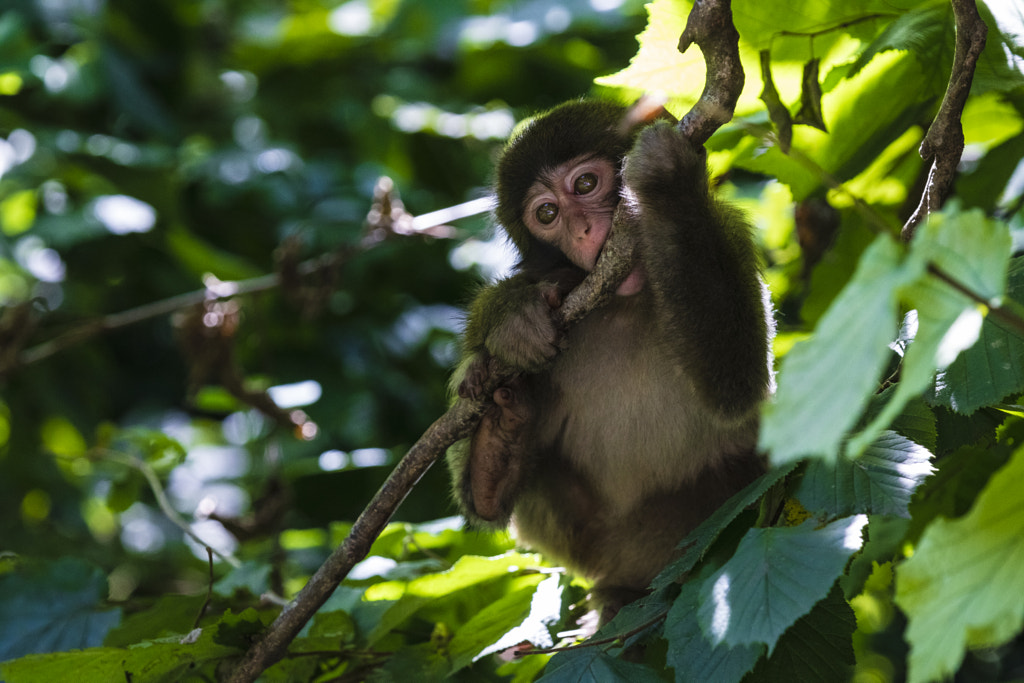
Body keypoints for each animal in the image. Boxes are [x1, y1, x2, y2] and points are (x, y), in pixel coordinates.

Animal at [446, 99, 774, 622]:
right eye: (547, 213)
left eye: (585, 184)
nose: (582, 229)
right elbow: (483, 510)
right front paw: (510, 317)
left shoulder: (729, 232)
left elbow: (734, 386)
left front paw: (665, 181)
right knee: (496, 496)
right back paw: (498, 433)